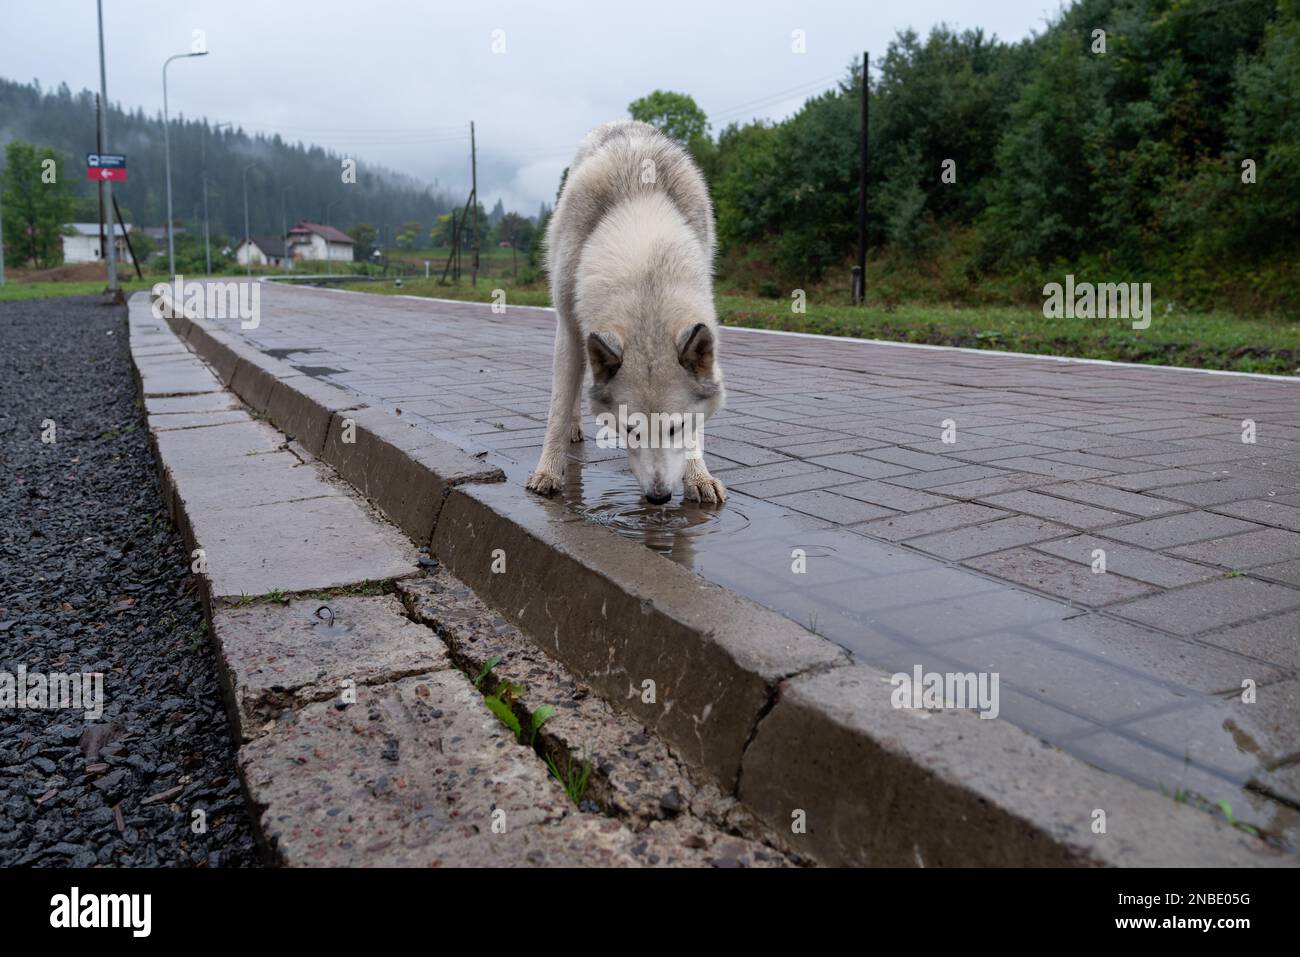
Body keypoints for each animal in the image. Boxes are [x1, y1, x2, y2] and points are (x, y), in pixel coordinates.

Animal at [525, 120, 727, 505]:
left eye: (676, 427)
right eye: (630, 429)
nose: (659, 497)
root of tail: (620, 124)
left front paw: (699, 477)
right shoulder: (570, 329)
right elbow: (557, 408)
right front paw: (548, 472)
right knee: (573, 391)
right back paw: (573, 429)